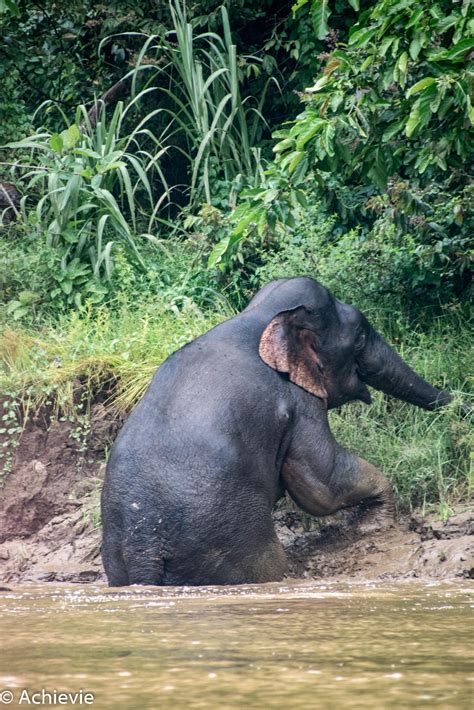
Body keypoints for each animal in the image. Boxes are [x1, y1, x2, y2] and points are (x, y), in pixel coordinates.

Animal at [101, 277, 452, 586]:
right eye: (361, 336)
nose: (455, 400)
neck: (262, 314)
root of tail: (144, 553)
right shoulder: (297, 399)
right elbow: (321, 484)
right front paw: (375, 523)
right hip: (228, 543)